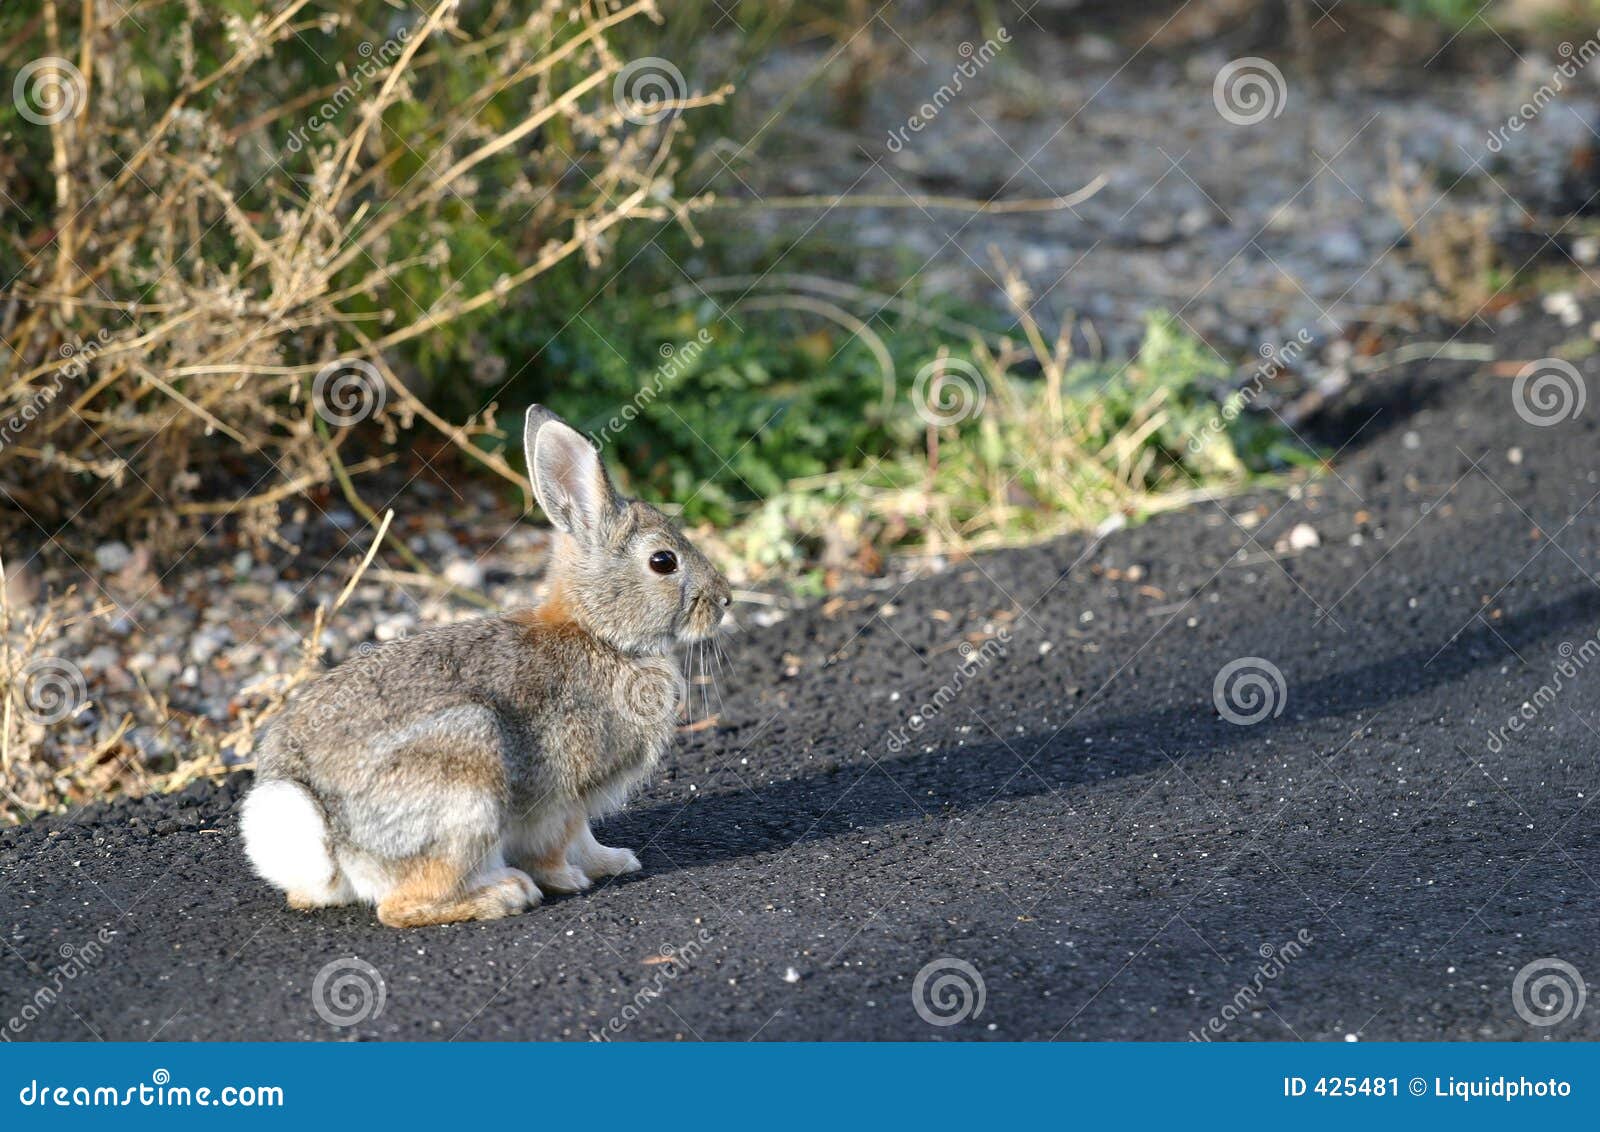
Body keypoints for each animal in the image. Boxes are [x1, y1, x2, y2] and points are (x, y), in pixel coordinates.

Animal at [238, 405, 732, 927]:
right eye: (663, 562)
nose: (725, 599)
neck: (601, 633)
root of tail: (325, 833)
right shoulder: (563, 791)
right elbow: (558, 842)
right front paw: (569, 879)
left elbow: (585, 839)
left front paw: (613, 861)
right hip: (468, 771)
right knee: (400, 906)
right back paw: (505, 895)